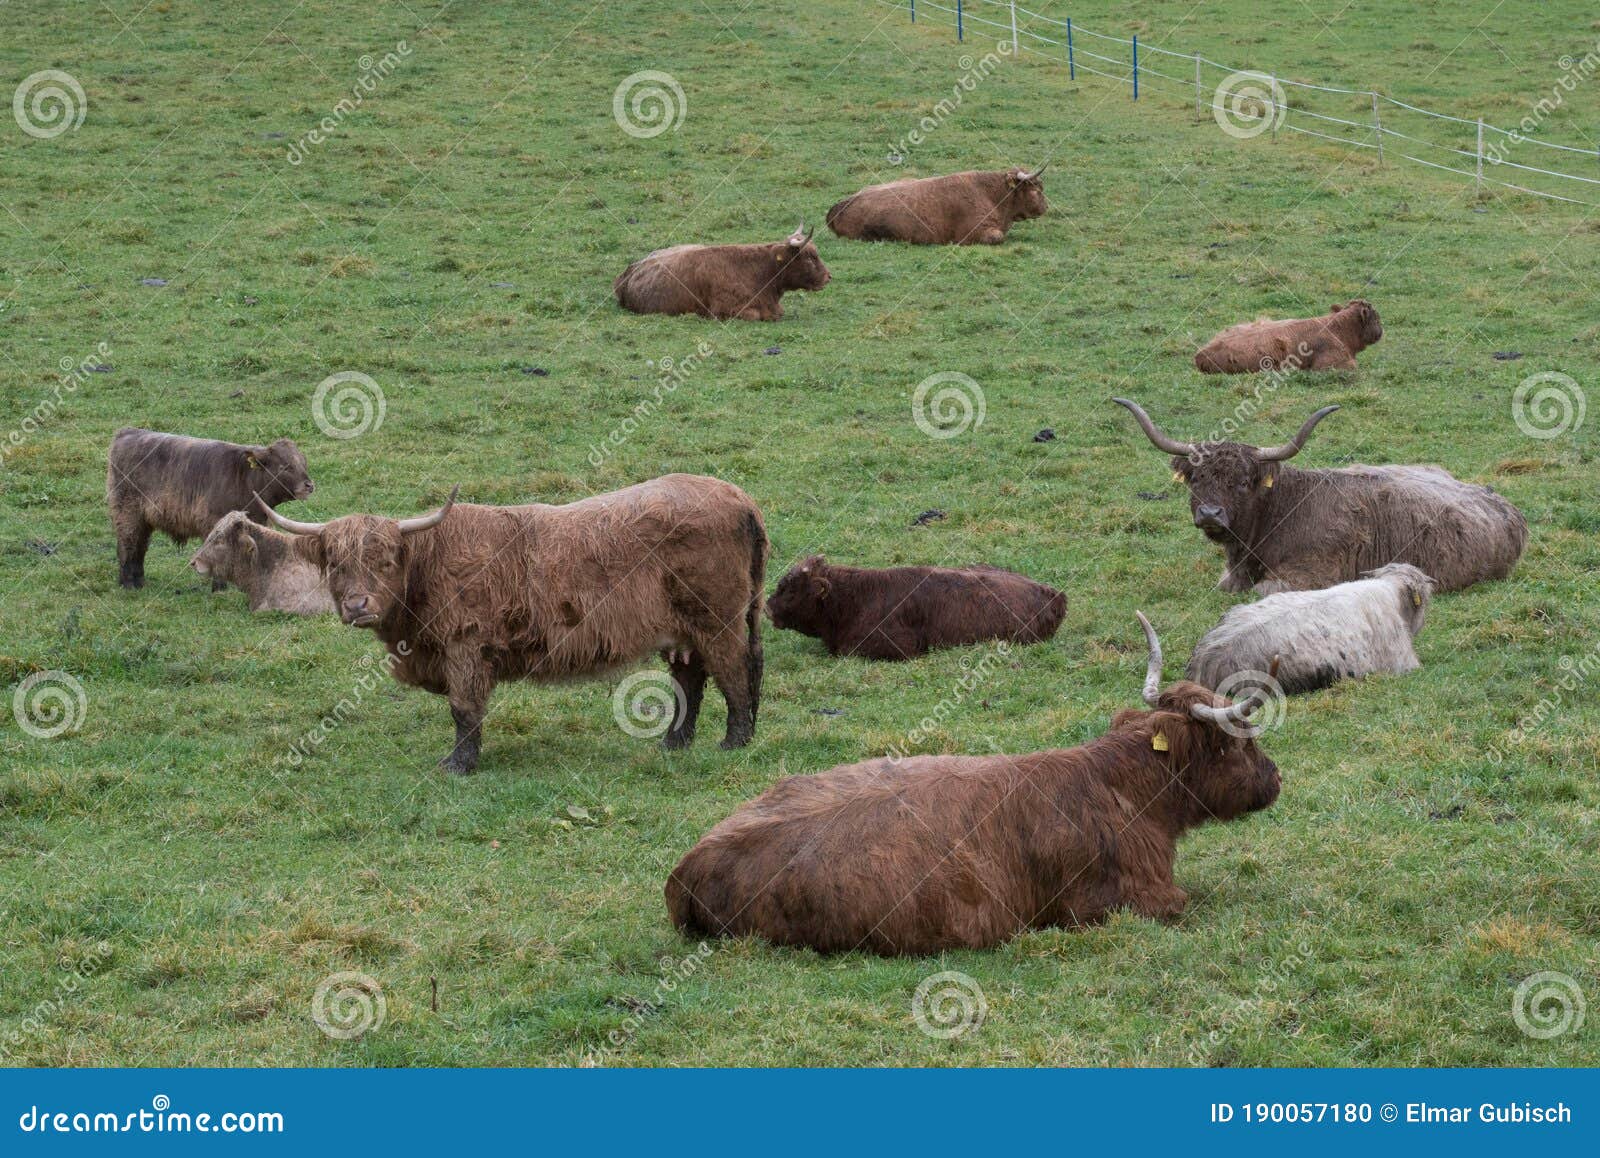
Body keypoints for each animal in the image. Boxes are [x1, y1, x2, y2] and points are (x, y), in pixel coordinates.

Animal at [107, 428, 315, 590]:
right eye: (285, 467)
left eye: (303, 463)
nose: (309, 485)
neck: (245, 480)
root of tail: (128, 432)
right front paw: (220, 588)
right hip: (127, 514)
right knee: (128, 545)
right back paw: (128, 584)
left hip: (143, 520)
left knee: (140, 547)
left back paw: (139, 581)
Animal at [259, 474, 767, 774]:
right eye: (337, 564)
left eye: (385, 562)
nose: (357, 604)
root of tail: (738, 497)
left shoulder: (464, 648)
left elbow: (464, 710)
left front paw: (458, 765)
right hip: (681, 628)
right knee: (690, 678)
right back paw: (674, 743)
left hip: (717, 618)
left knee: (734, 672)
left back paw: (734, 741)